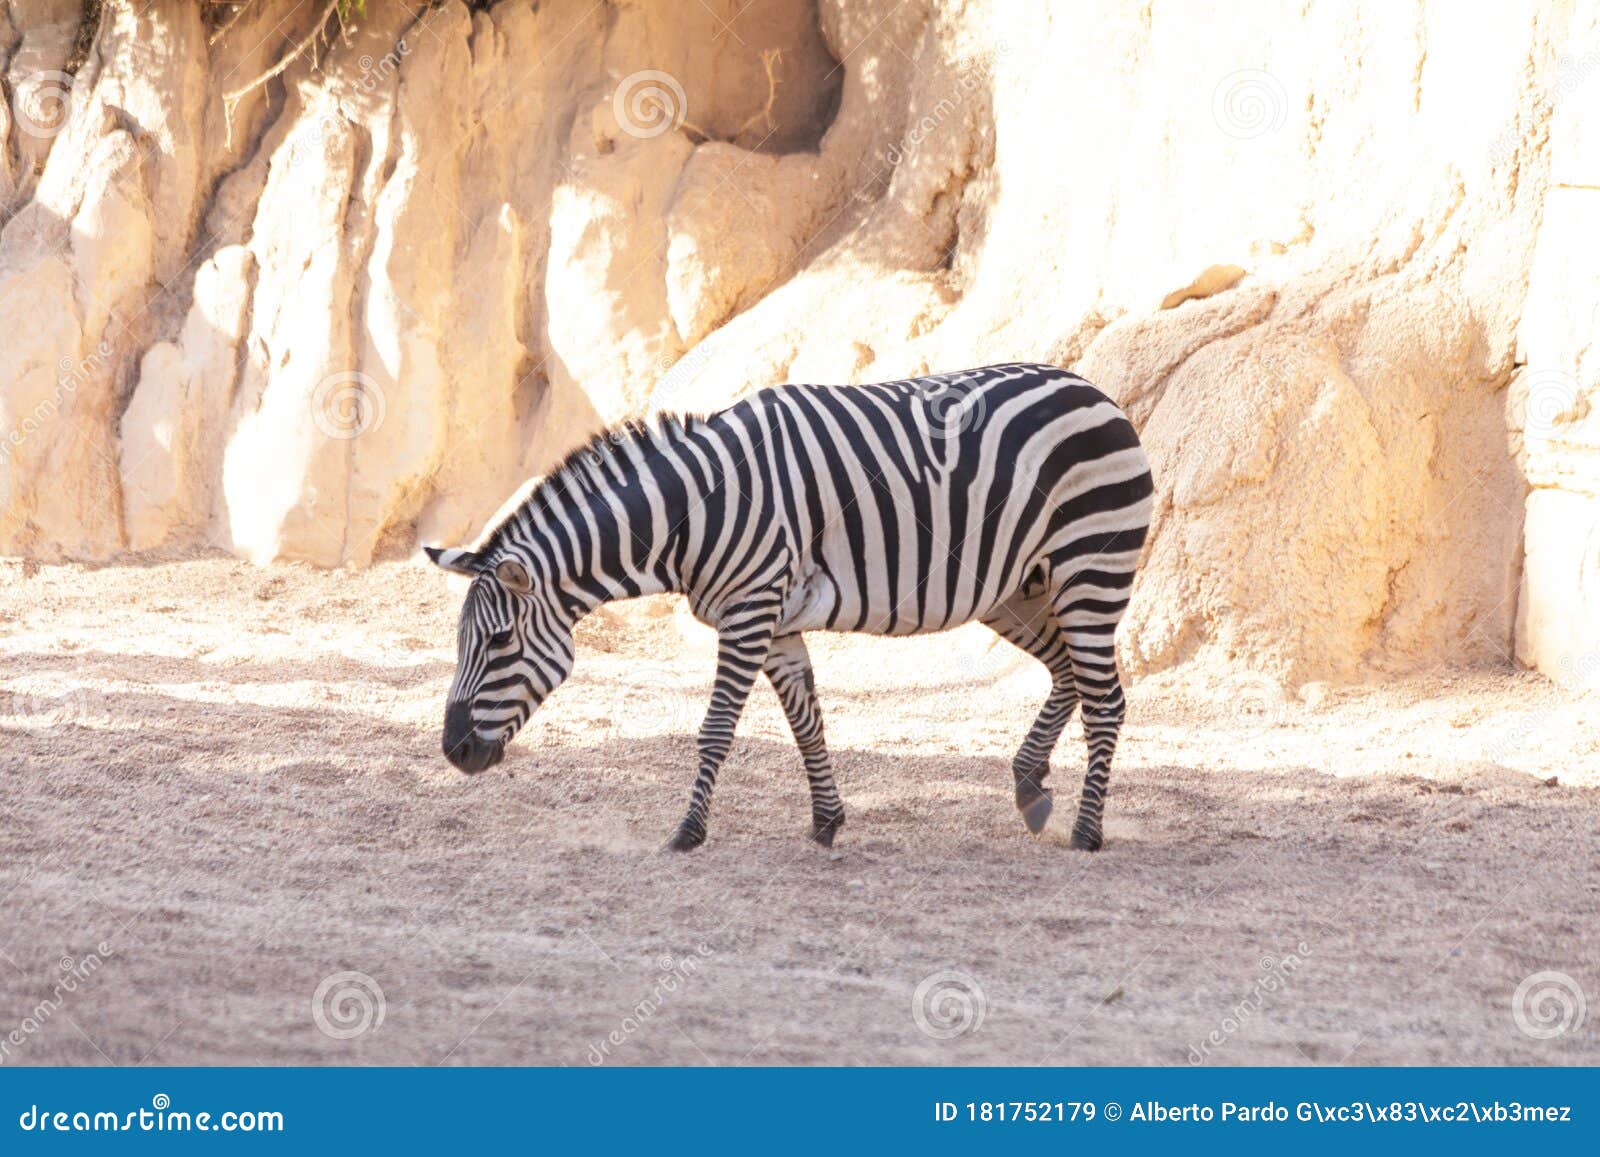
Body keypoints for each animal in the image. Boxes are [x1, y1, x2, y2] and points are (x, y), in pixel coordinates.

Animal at [426, 362, 1154, 852]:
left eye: (498, 643)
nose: (454, 753)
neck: (696, 509)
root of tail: (1094, 389)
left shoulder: (749, 611)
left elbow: (717, 728)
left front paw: (688, 831)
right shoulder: (775, 622)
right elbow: (807, 723)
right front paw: (827, 821)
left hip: (1089, 571)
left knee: (1106, 698)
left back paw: (1087, 831)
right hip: (1017, 588)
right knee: (1068, 675)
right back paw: (1030, 787)